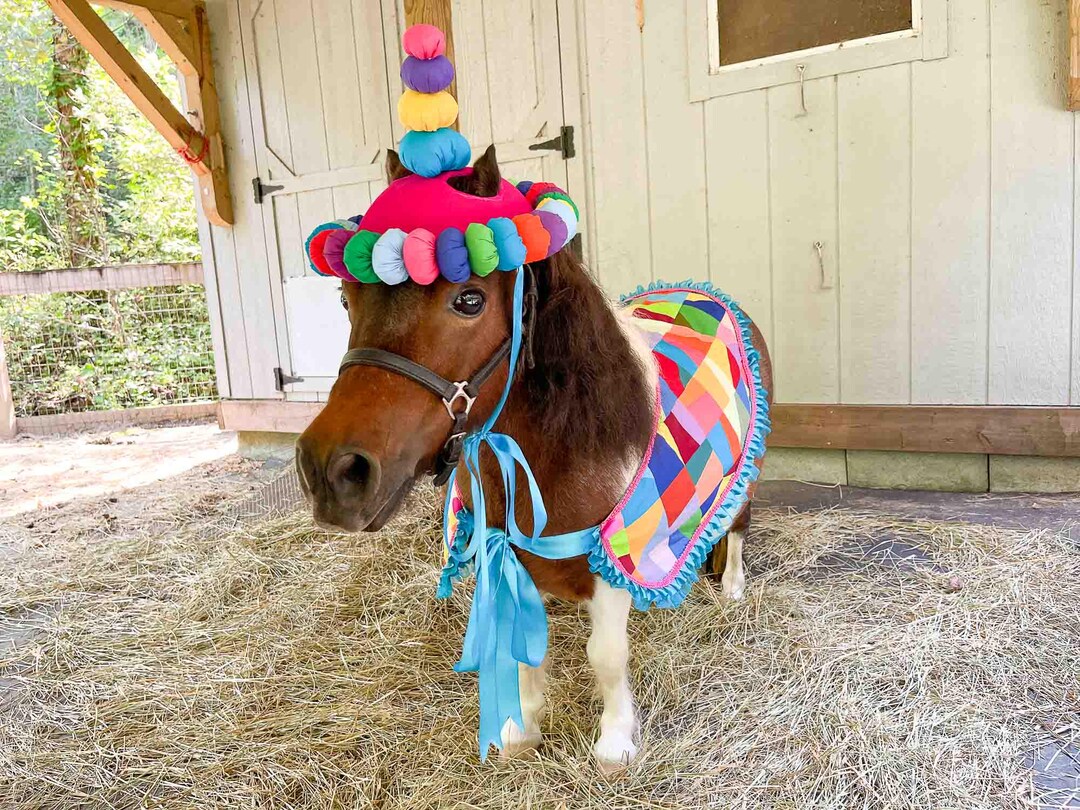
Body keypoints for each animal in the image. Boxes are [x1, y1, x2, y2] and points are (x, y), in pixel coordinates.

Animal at [296, 145, 773, 770]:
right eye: (346, 299)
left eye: (469, 299)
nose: (331, 472)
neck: (556, 452)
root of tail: (707, 295)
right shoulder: (509, 555)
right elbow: (523, 648)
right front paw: (521, 727)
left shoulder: (612, 562)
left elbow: (607, 654)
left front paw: (616, 741)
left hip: (746, 475)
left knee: (737, 524)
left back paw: (733, 590)